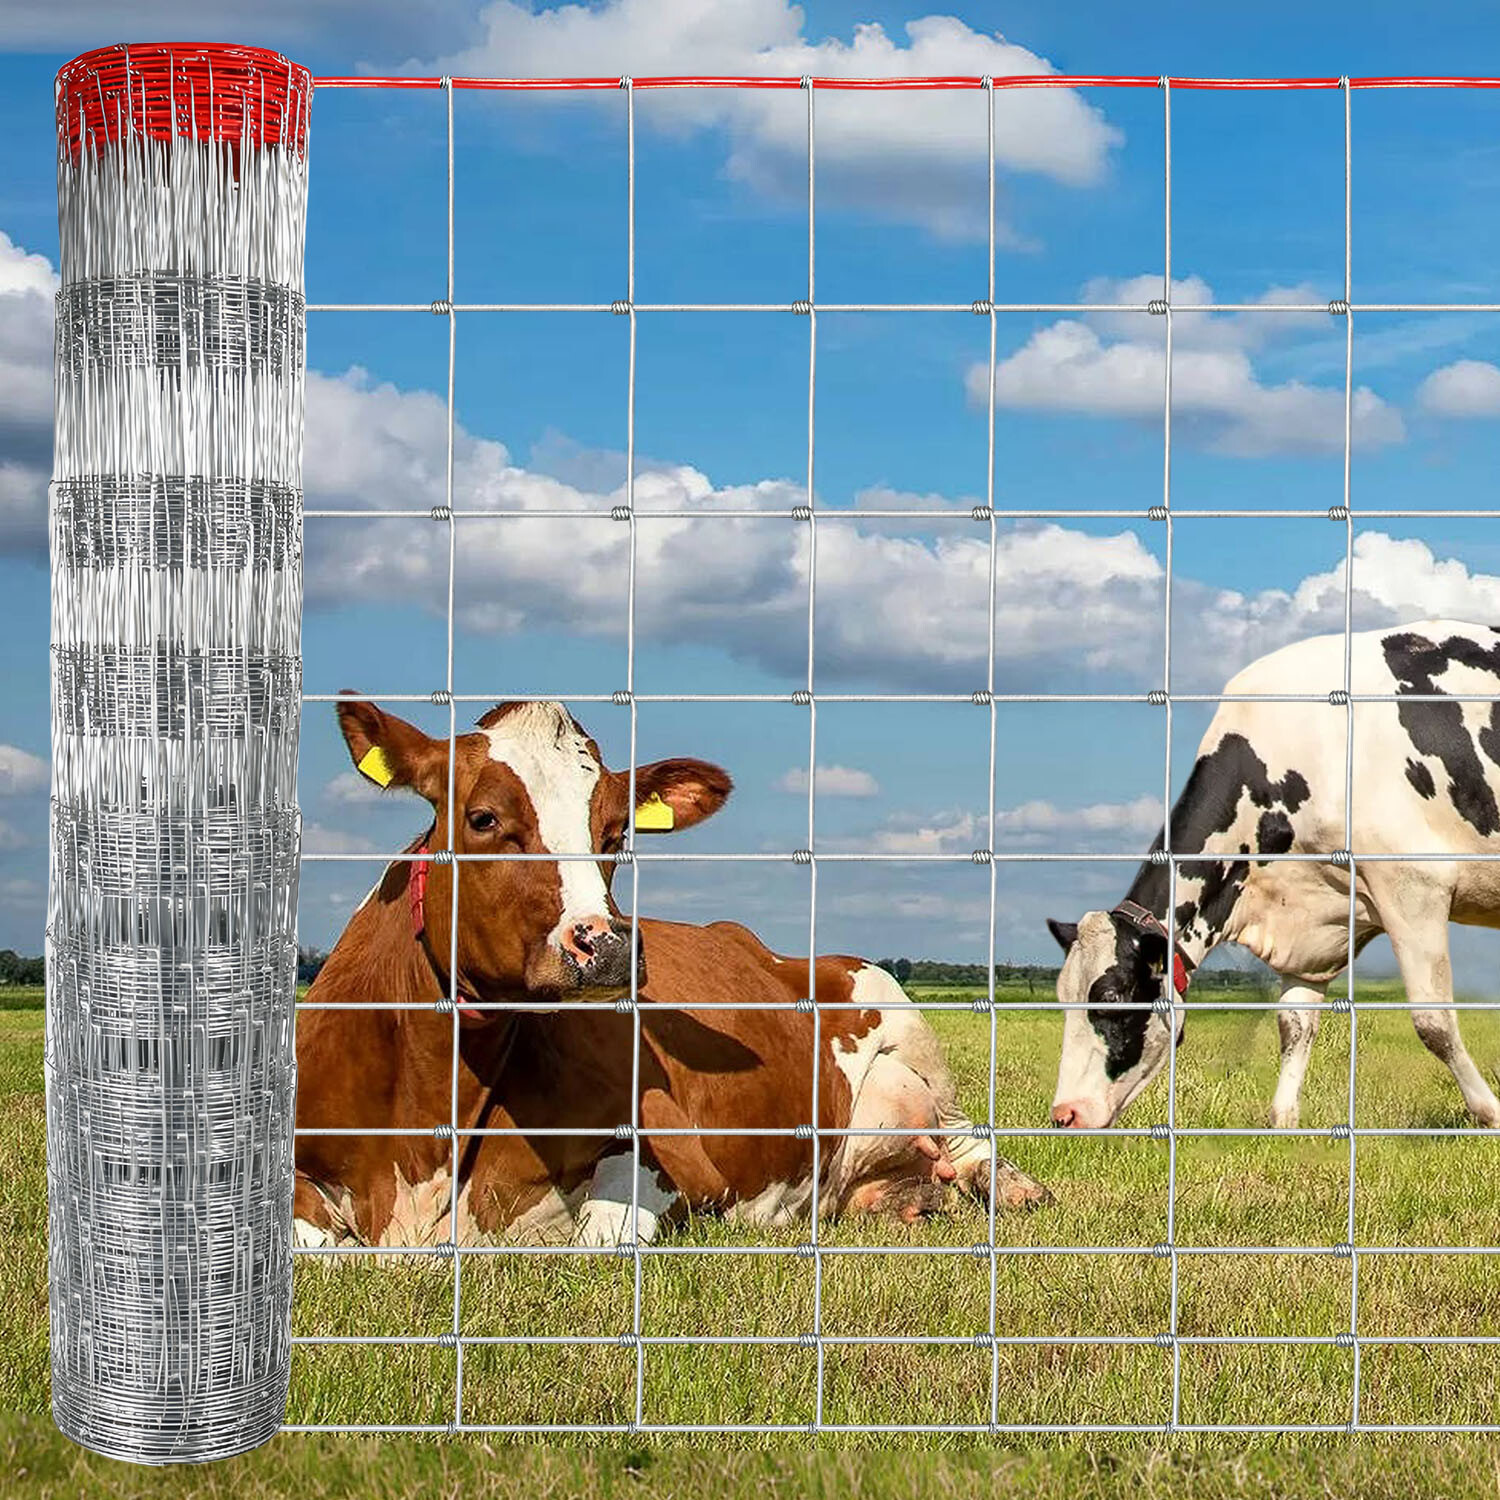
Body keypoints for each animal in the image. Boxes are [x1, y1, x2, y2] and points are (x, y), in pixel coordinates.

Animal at [294, 695, 1049, 1248]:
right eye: (482, 818)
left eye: (615, 834)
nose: (607, 947)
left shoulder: (675, 1161)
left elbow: (597, 1241)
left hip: (904, 1021)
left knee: (969, 1139)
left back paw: (1016, 1187)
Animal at [1045, 620, 1500, 1132]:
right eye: (1062, 997)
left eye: (1113, 997)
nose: (1064, 1113)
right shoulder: (1314, 925)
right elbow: (1294, 1024)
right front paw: (1283, 1120)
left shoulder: (1413, 884)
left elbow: (1433, 1021)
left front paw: (1489, 1113)